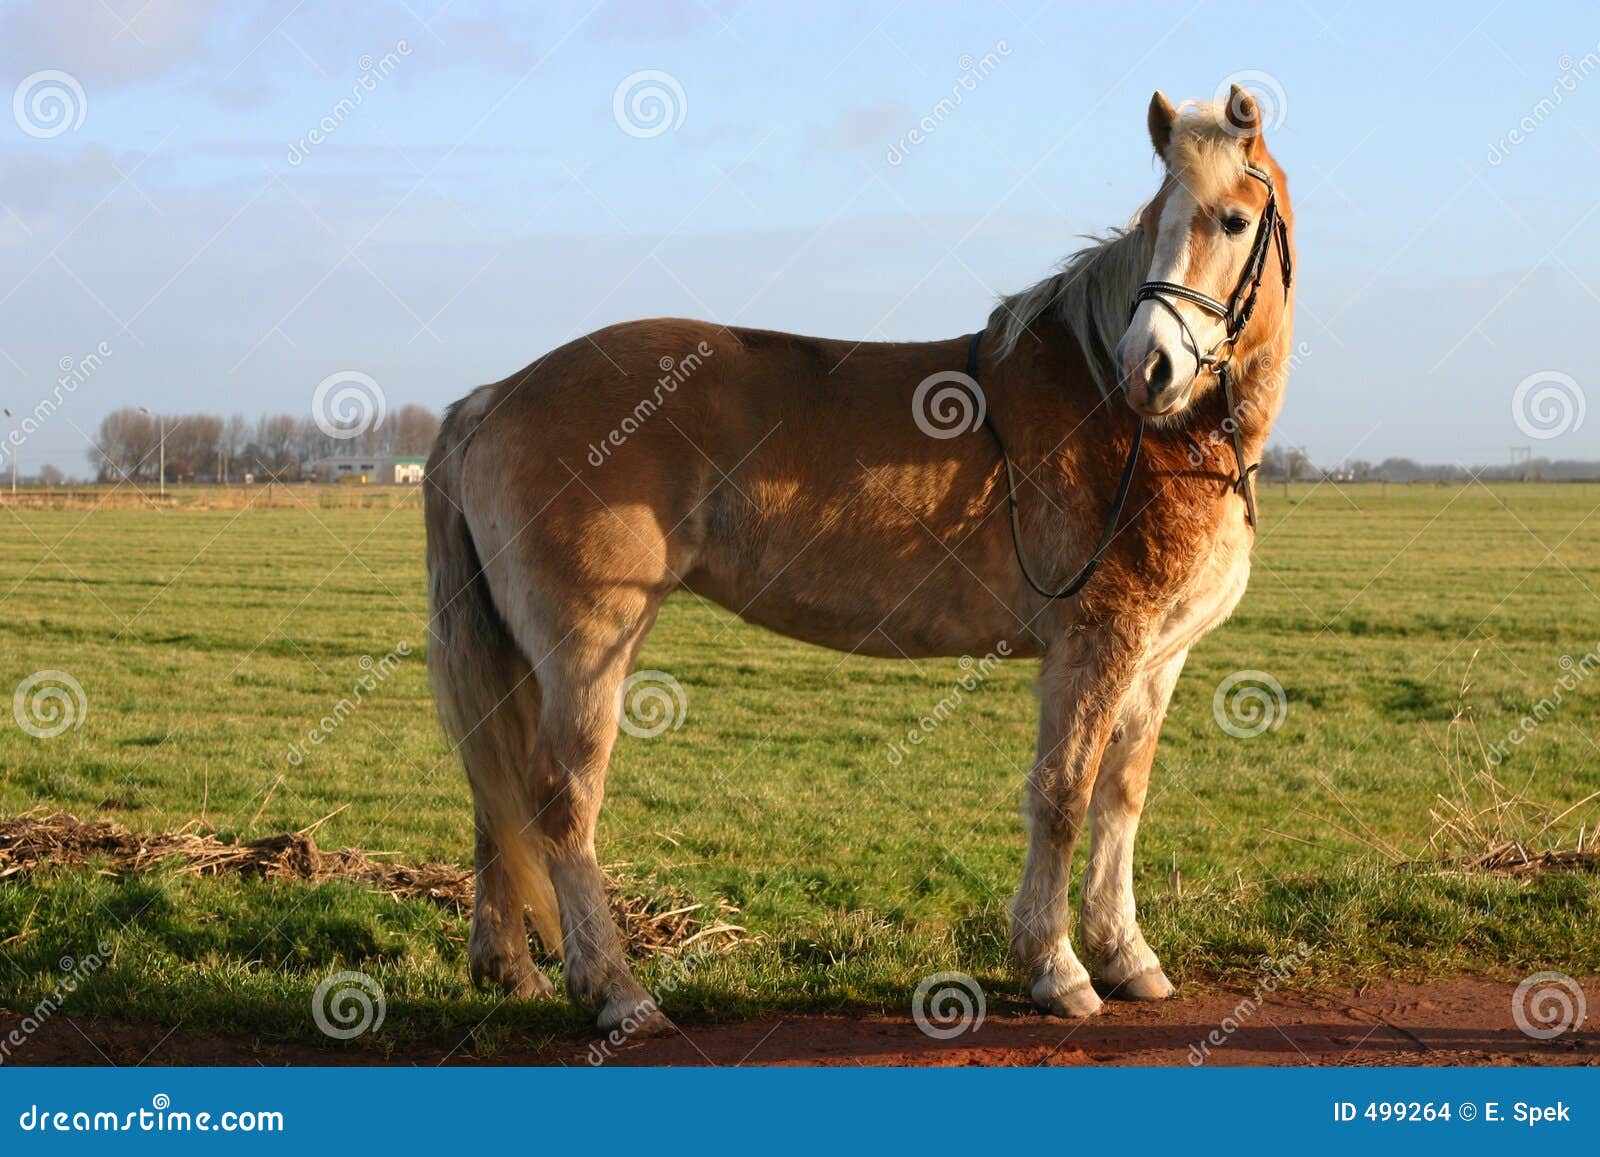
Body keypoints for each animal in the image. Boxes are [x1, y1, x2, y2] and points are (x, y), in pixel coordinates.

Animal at [424, 86, 1296, 1030]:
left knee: (494, 783)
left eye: (1235, 219)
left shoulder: (1156, 655)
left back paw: (509, 965)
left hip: (521, 651)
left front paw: (1127, 954)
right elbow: (1063, 795)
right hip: (588, 644)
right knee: (559, 795)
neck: (1128, 424)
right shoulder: (1094, 643)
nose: (1151, 366)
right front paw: (1057, 965)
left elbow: (1120, 796)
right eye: (1153, 220)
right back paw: (617, 991)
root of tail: (497, 395)